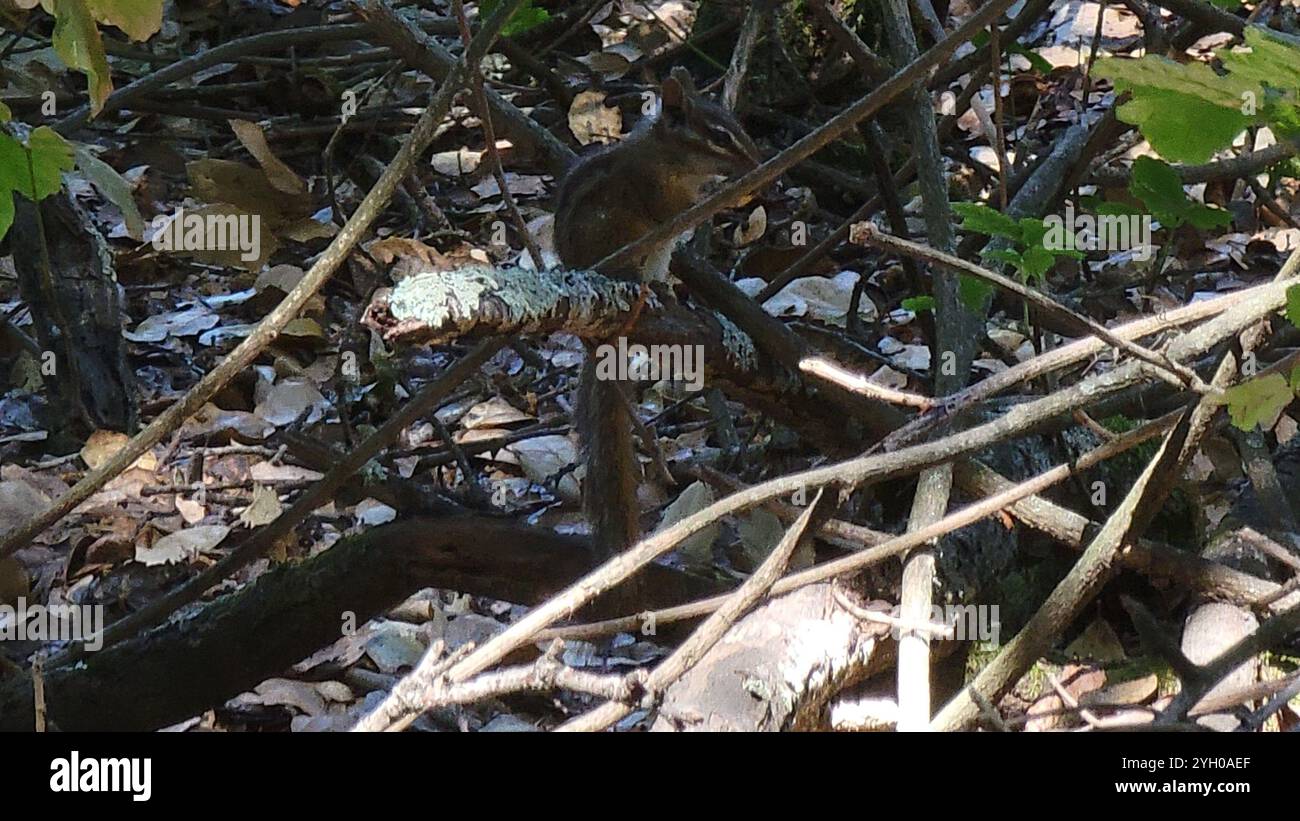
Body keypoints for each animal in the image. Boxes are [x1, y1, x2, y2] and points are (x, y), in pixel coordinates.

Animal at [552, 68, 760, 558]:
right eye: (720, 136)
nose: (758, 163)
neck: (669, 154)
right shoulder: (658, 194)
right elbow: (675, 210)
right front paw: (723, 193)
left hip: (658, 255)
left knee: (660, 277)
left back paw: (669, 295)